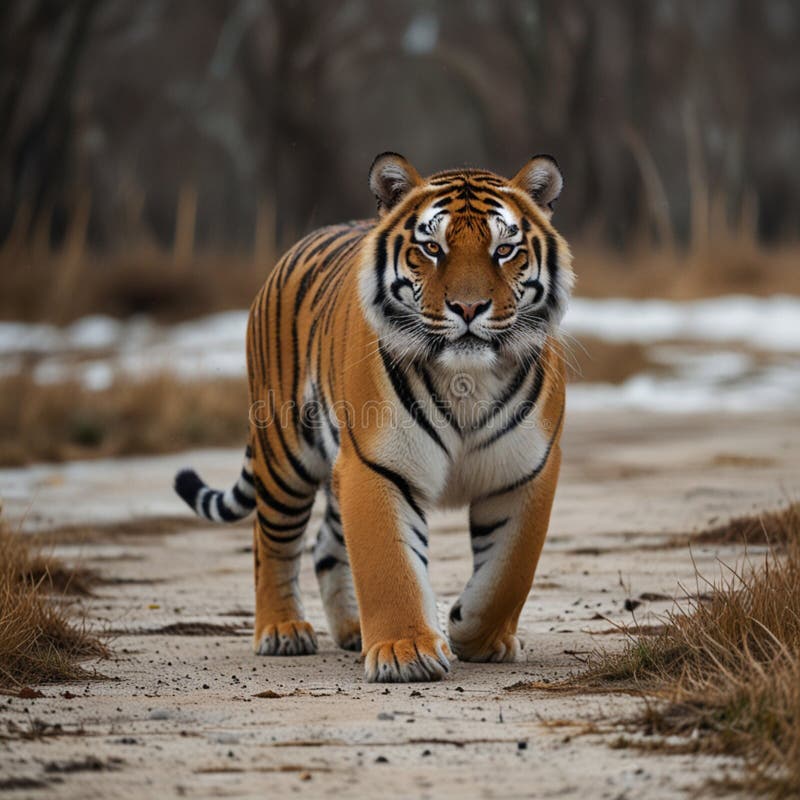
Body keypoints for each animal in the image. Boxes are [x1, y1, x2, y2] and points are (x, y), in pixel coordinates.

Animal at [174, 152, 572, 683]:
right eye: (431, 247)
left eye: (505, 250)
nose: (468, 307)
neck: (466, 379)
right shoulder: (378, 466)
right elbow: (390, 564)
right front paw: (407, 652)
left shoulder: (526, 470)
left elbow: (509, 571)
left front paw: (476, 635)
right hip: (285, 454)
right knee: (271, 542)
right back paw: (282, 631)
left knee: (325, 546)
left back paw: (350, 631)